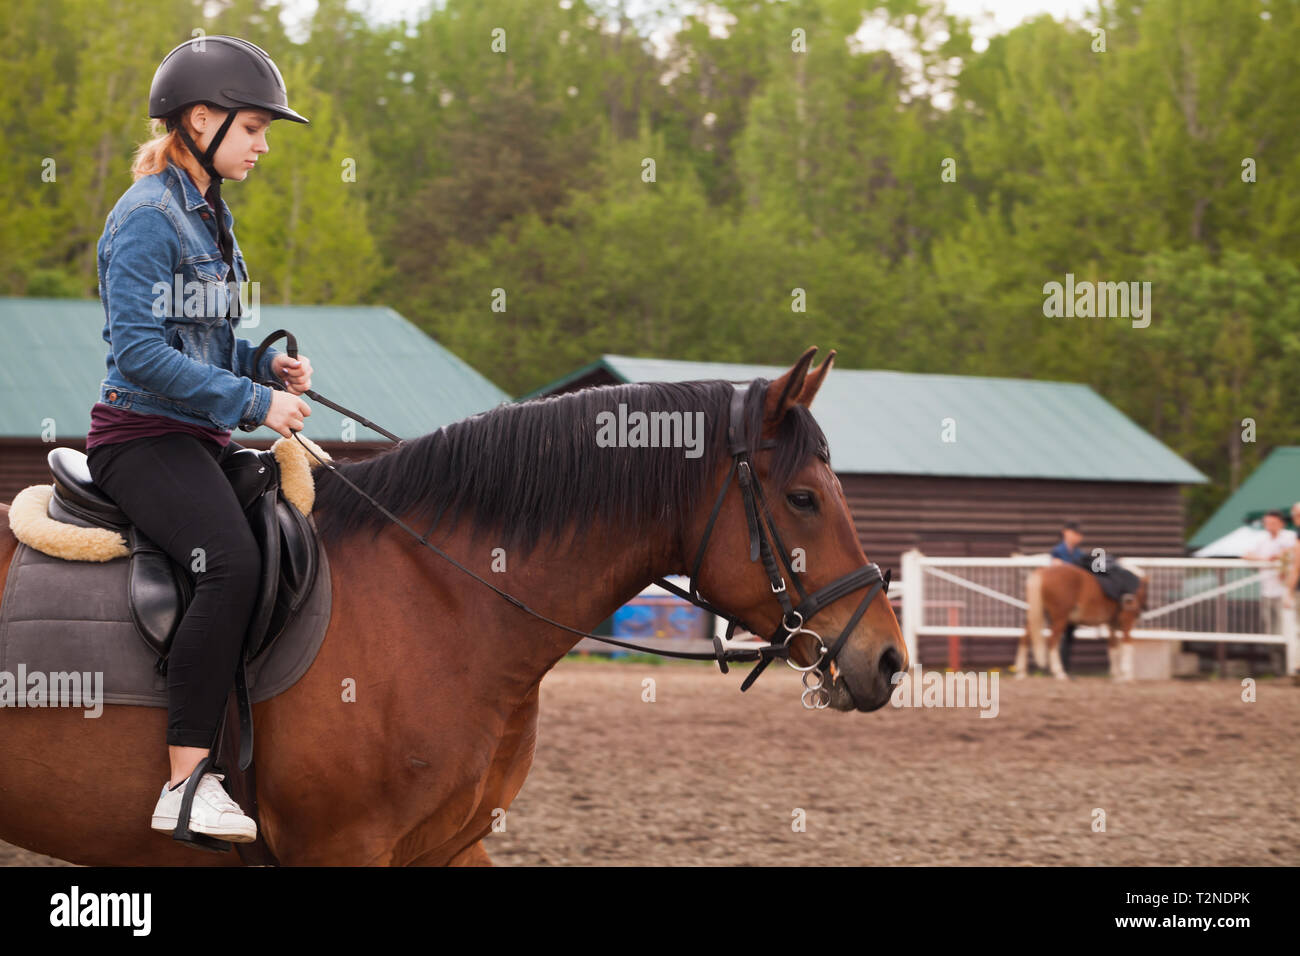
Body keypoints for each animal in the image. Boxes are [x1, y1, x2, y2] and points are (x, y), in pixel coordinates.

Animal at [1013, 563, 1147, 681]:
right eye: (1145, 592)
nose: (1141, 610)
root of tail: (1043, 571)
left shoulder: (1112, 625)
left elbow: (1113, 647)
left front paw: (1117, 674)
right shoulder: (1127, 621)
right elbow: (1128, 644)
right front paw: (1126, 674)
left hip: (1037, 616)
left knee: (1024, 638)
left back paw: (1021, 672)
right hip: (1059, 618)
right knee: (1052, 641)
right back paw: (1059, 672)